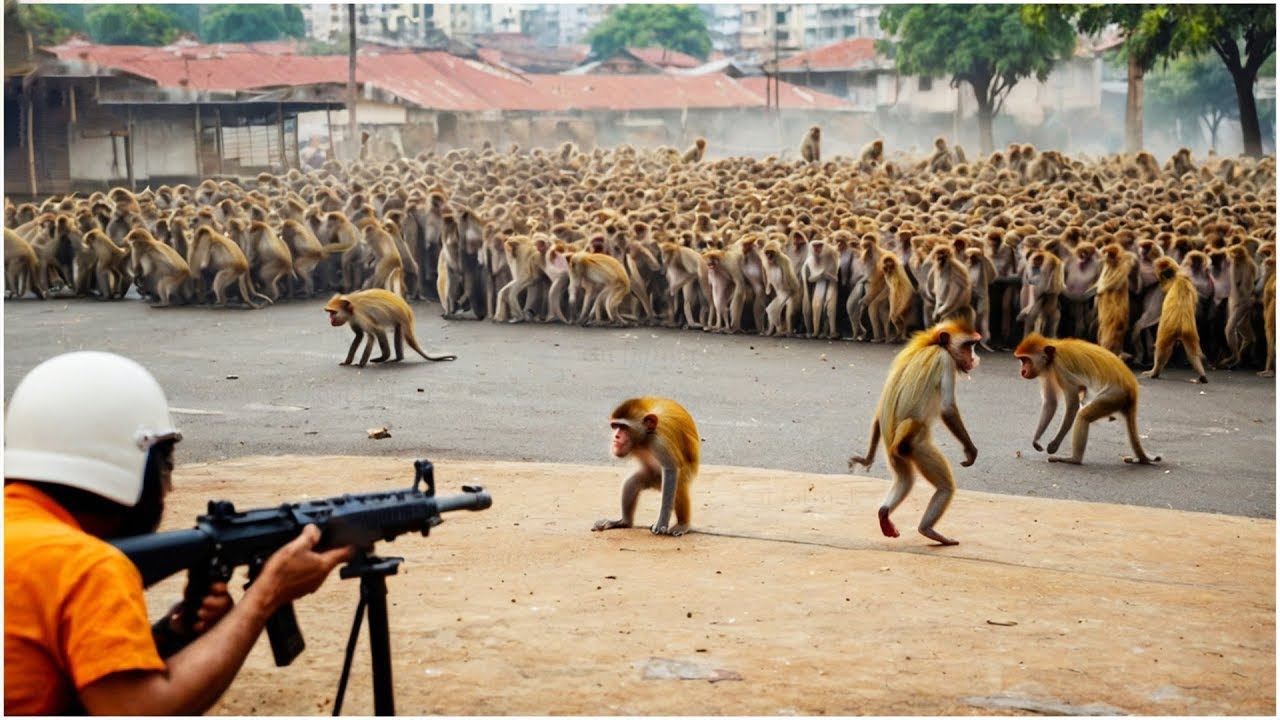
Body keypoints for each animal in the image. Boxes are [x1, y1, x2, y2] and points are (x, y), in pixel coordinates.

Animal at [324, 289, 456, 367]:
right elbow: (359, 335)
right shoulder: (353, 319)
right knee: (398, 328)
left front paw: (362, 364)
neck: (352, 308)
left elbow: (374, 333)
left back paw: (385, 358)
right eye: (329, 313)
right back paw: (398, 358)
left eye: (333, 313)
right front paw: (348, 361)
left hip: (402, 318)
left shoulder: (361, 316)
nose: (330, 319)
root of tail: (407, 310)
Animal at [593, 397, 700, 537]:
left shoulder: (658, 442)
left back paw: (682, 524)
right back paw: (623, 522)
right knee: (632, 481)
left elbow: (671, 470)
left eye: (624, 427)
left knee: (678, 485)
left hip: (683, 474)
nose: (616, 437)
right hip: (652, 477)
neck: (644, 439)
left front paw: (662, 522)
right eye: (615, 426)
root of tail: (657, 485)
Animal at [848, 319, 982, 546]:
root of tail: (896, 442)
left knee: (905, 479)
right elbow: (947, 409)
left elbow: (879, 410)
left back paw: (884, 513)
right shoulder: (945, 360)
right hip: (918, 446)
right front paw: (970, 450)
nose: (974, 357)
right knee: (945, 487)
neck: (932, 344)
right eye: (968, 346)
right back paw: (928, 530)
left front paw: (866, 459)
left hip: (896, 453)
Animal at [1014, 333, 1161, 465]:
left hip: (1114, 395)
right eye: (1022, 360)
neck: (1052, 358)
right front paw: (1036, 439)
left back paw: (1074, 459)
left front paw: (1055, 444)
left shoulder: (1061, 369)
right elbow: (1051, 403)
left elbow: (1073, 404)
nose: (1022, 371)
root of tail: (1132, 388)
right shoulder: (1047, 372)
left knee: (1083, 415)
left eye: (1026, 360)